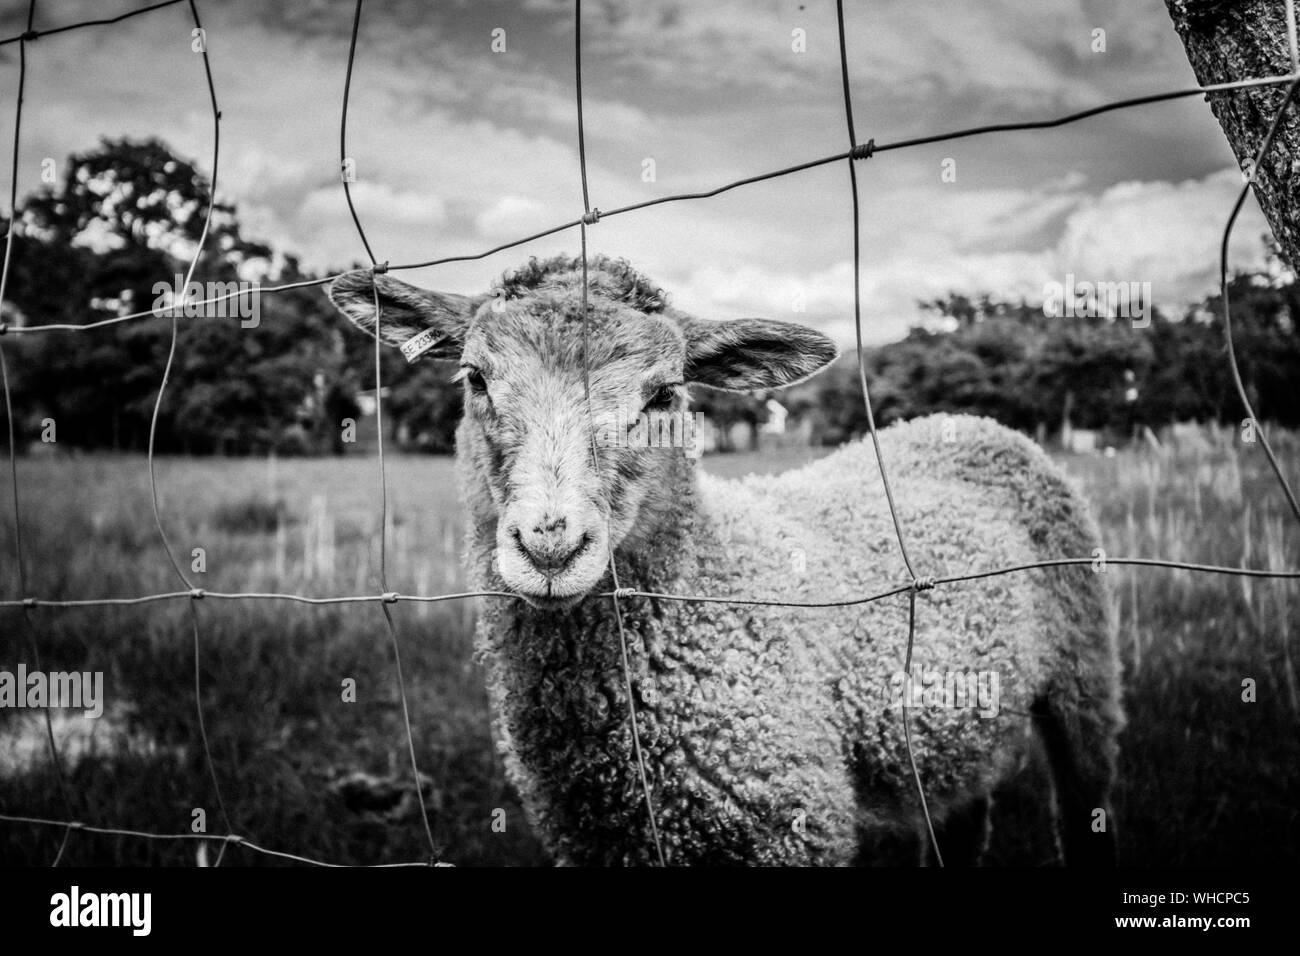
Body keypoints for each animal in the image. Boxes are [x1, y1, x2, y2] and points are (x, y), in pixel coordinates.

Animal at [327, 254, 1123, 867]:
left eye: (663, 393)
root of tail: (965, 420)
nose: (550, 543)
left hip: (1085, 681)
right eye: (476, 380)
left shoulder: (794, 827)